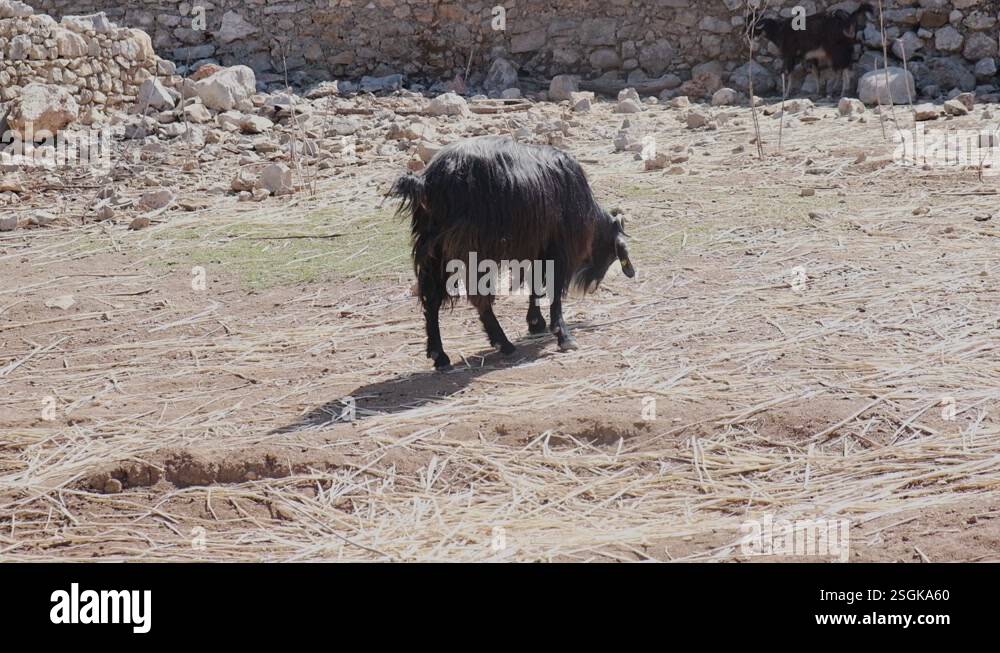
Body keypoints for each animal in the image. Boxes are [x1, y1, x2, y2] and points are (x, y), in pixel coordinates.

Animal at [390, 136, 636, 370]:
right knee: (478, 298)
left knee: (431, 299)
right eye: (612, 254)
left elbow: (535, 285)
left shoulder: (536, 248)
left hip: (434, 252)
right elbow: (554, 291)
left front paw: (536, 323)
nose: (593, 287)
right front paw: (563, 335)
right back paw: (503, 343)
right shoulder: (559, 250)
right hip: (473, 249)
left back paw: (440, 356)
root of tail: (429, 181)